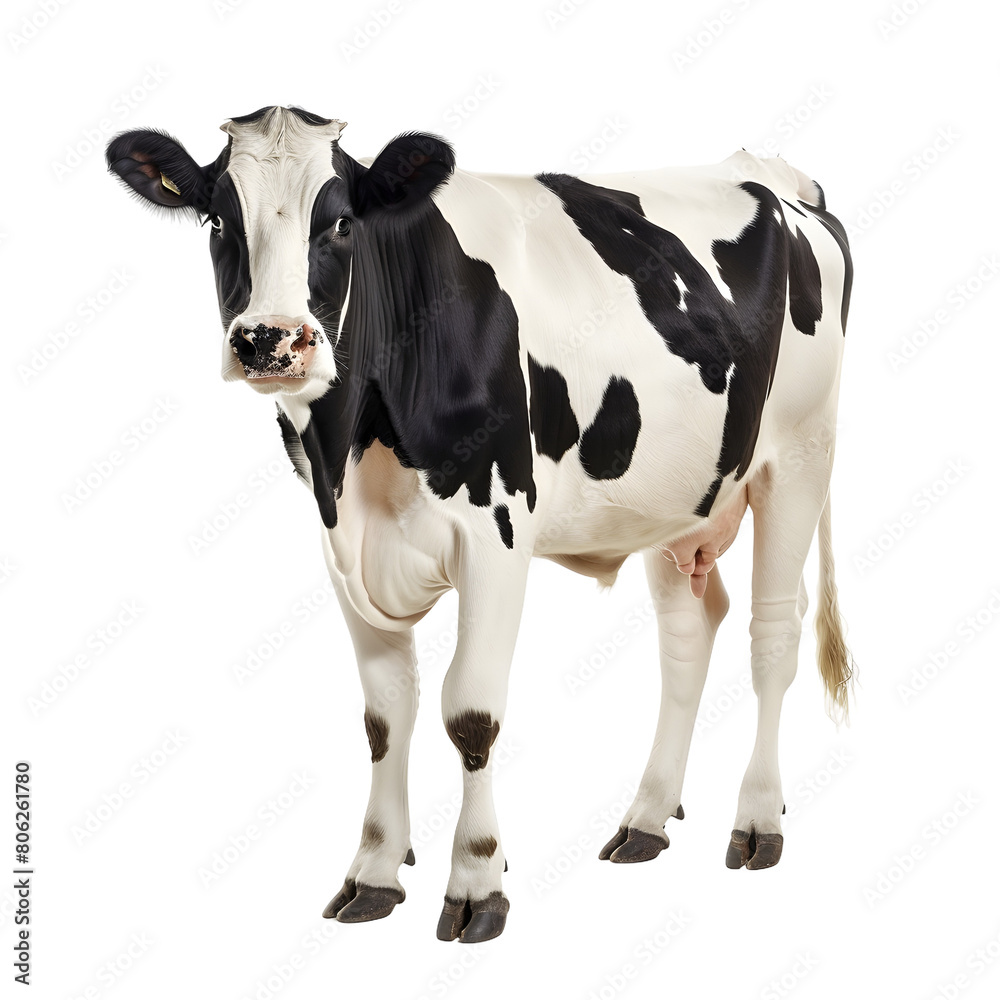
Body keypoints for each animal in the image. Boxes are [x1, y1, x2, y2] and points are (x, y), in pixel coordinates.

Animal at [106, 105, 854, 943]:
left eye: (340, 222)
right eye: (216, 219)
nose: (270, 339)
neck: (354, 446)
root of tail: (774, 175)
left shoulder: (497, 533)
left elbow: (470, 712)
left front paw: (476, 880)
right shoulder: (341, 544)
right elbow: (384, 715)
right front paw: (373, 871)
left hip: (801, 456)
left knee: (773, 636)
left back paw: (757, 822)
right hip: (675, 497)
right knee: (689, 635)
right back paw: (647, 819)